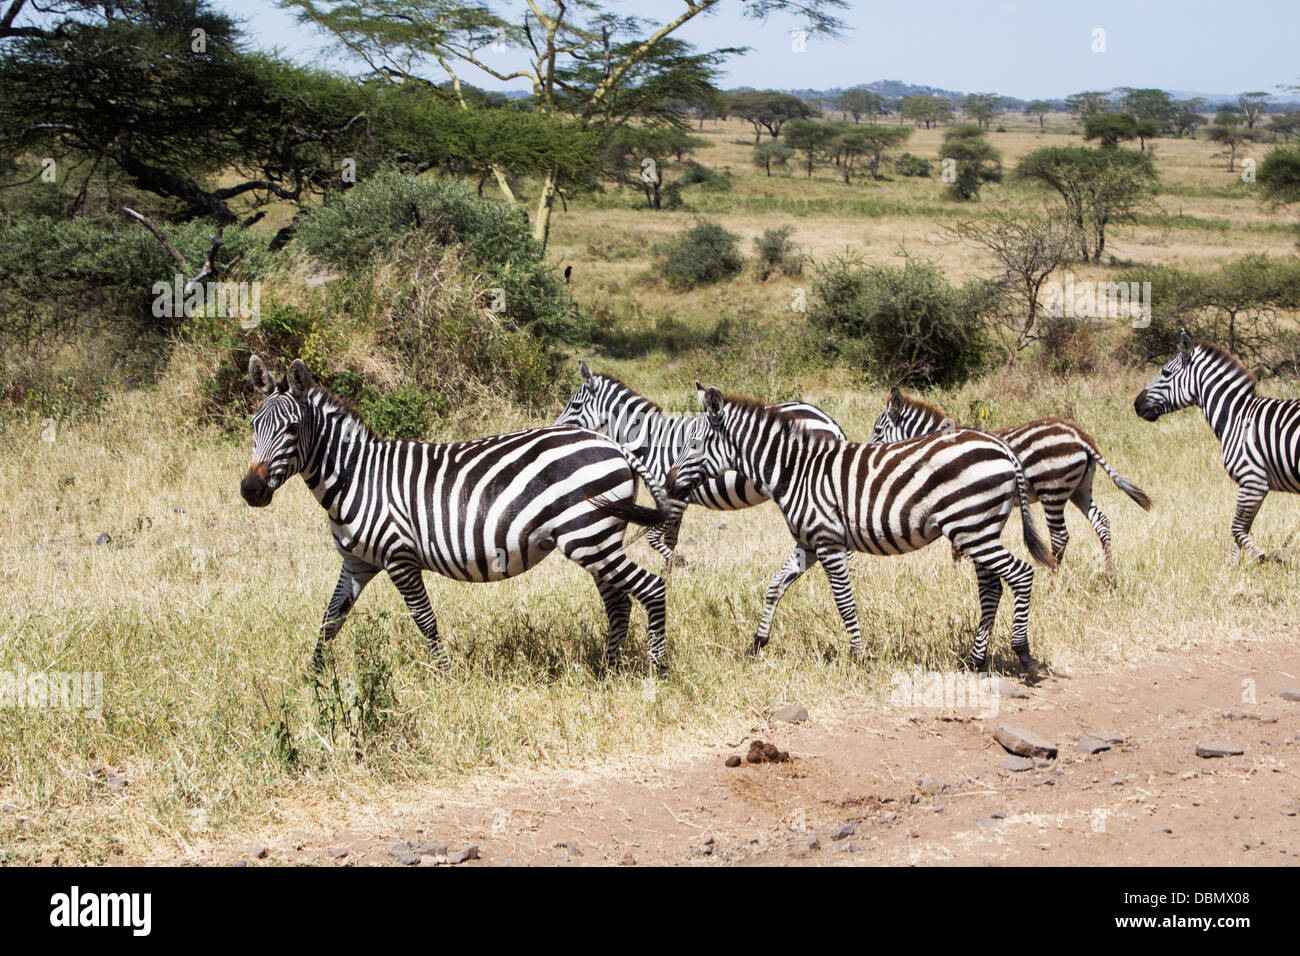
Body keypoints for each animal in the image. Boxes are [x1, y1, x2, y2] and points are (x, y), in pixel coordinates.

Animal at [239, 355, 683, 671]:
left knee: (651, 588)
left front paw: (444, 675)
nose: (250, 491)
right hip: (596, 540)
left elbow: (424, 619)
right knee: (619, 601)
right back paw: (609, 669)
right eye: (253, 424)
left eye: (291, 429)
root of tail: (614, 444)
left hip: (589, 538)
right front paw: (311, 680)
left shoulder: (399, 557)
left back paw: (657, 667)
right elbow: (329, 621)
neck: (356, 477)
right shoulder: (357, 562)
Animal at [555, 361, 845, 566]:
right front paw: (670, 575)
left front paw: (681, 564)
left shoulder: (675, 497)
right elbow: (669, 539)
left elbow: (653, 538)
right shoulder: (676, 495)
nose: (555, 429)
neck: (653, 440)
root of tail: (828, 420)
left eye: (575, 405)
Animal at [662, 385, 1058, 676]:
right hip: (978, 530)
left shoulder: (828, 543)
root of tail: (1003, 448)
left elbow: (844, 601)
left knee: (1021, 575)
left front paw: (858, 653)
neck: (794, 471)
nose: (667, 485)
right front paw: (757, 643)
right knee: (991, 588)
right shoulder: (808, 543)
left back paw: (1023, 655)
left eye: (692, 445)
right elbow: (774, 588)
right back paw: (976, 661)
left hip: (973, 529)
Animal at [870, 388, 1151, 583]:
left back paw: (1051, 579)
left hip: (1053, 491)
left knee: (1060, 536)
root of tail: (1080, 436)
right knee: (1101, 523)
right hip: (1080, 489)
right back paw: (1109, 577)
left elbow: (956, 547)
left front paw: (956, 580)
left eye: (877, 431)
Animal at [1135, 329, 1300, 562]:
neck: (1236, 416)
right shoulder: (1252, 484)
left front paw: (1269, 557)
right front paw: (1234, 565)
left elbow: (1237, 529)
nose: (1136, 404)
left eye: (1166, 373)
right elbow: (1240, 531)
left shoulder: (1253, 481)